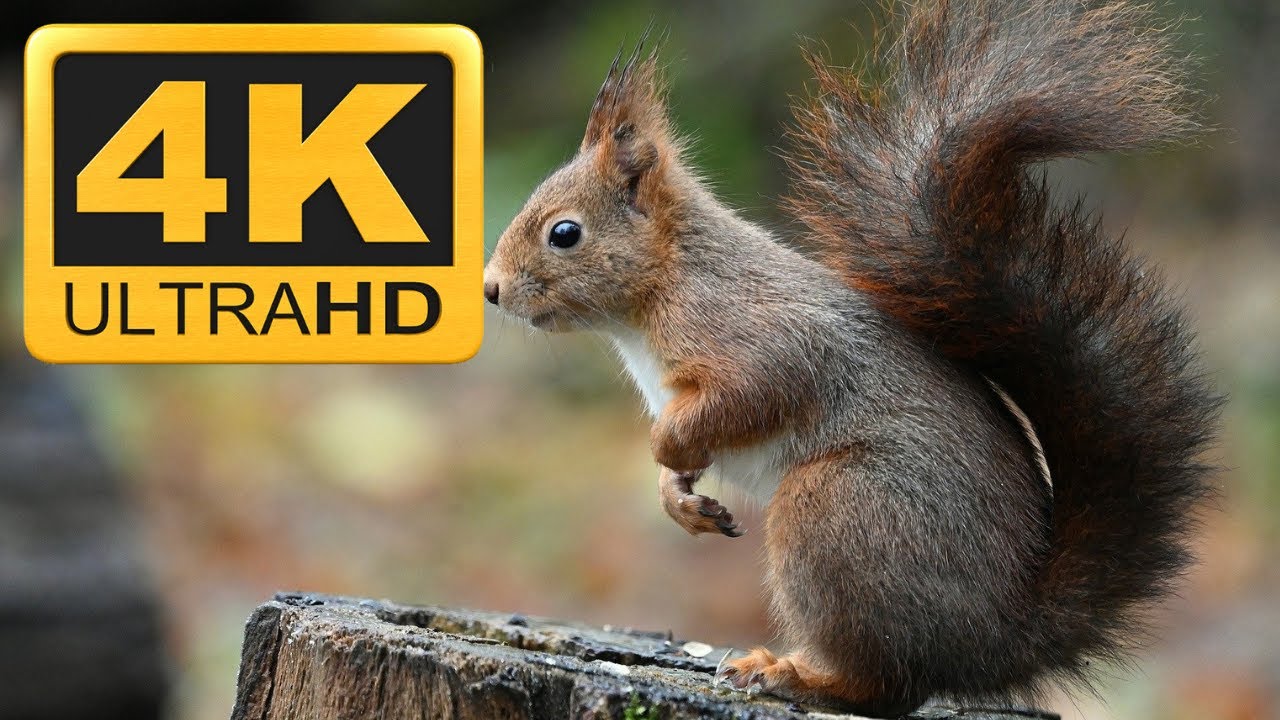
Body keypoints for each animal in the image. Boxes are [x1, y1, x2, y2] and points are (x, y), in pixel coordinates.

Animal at [484, 0, 1220, 716]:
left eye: (565, 233)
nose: (490, 290)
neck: (664, 285)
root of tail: (999, 637)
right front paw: (679, 497)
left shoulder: (757, 333)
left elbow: (756, 391)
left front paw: (666, 448)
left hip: (838, 509)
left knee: (888, 687)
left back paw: (793, 676)